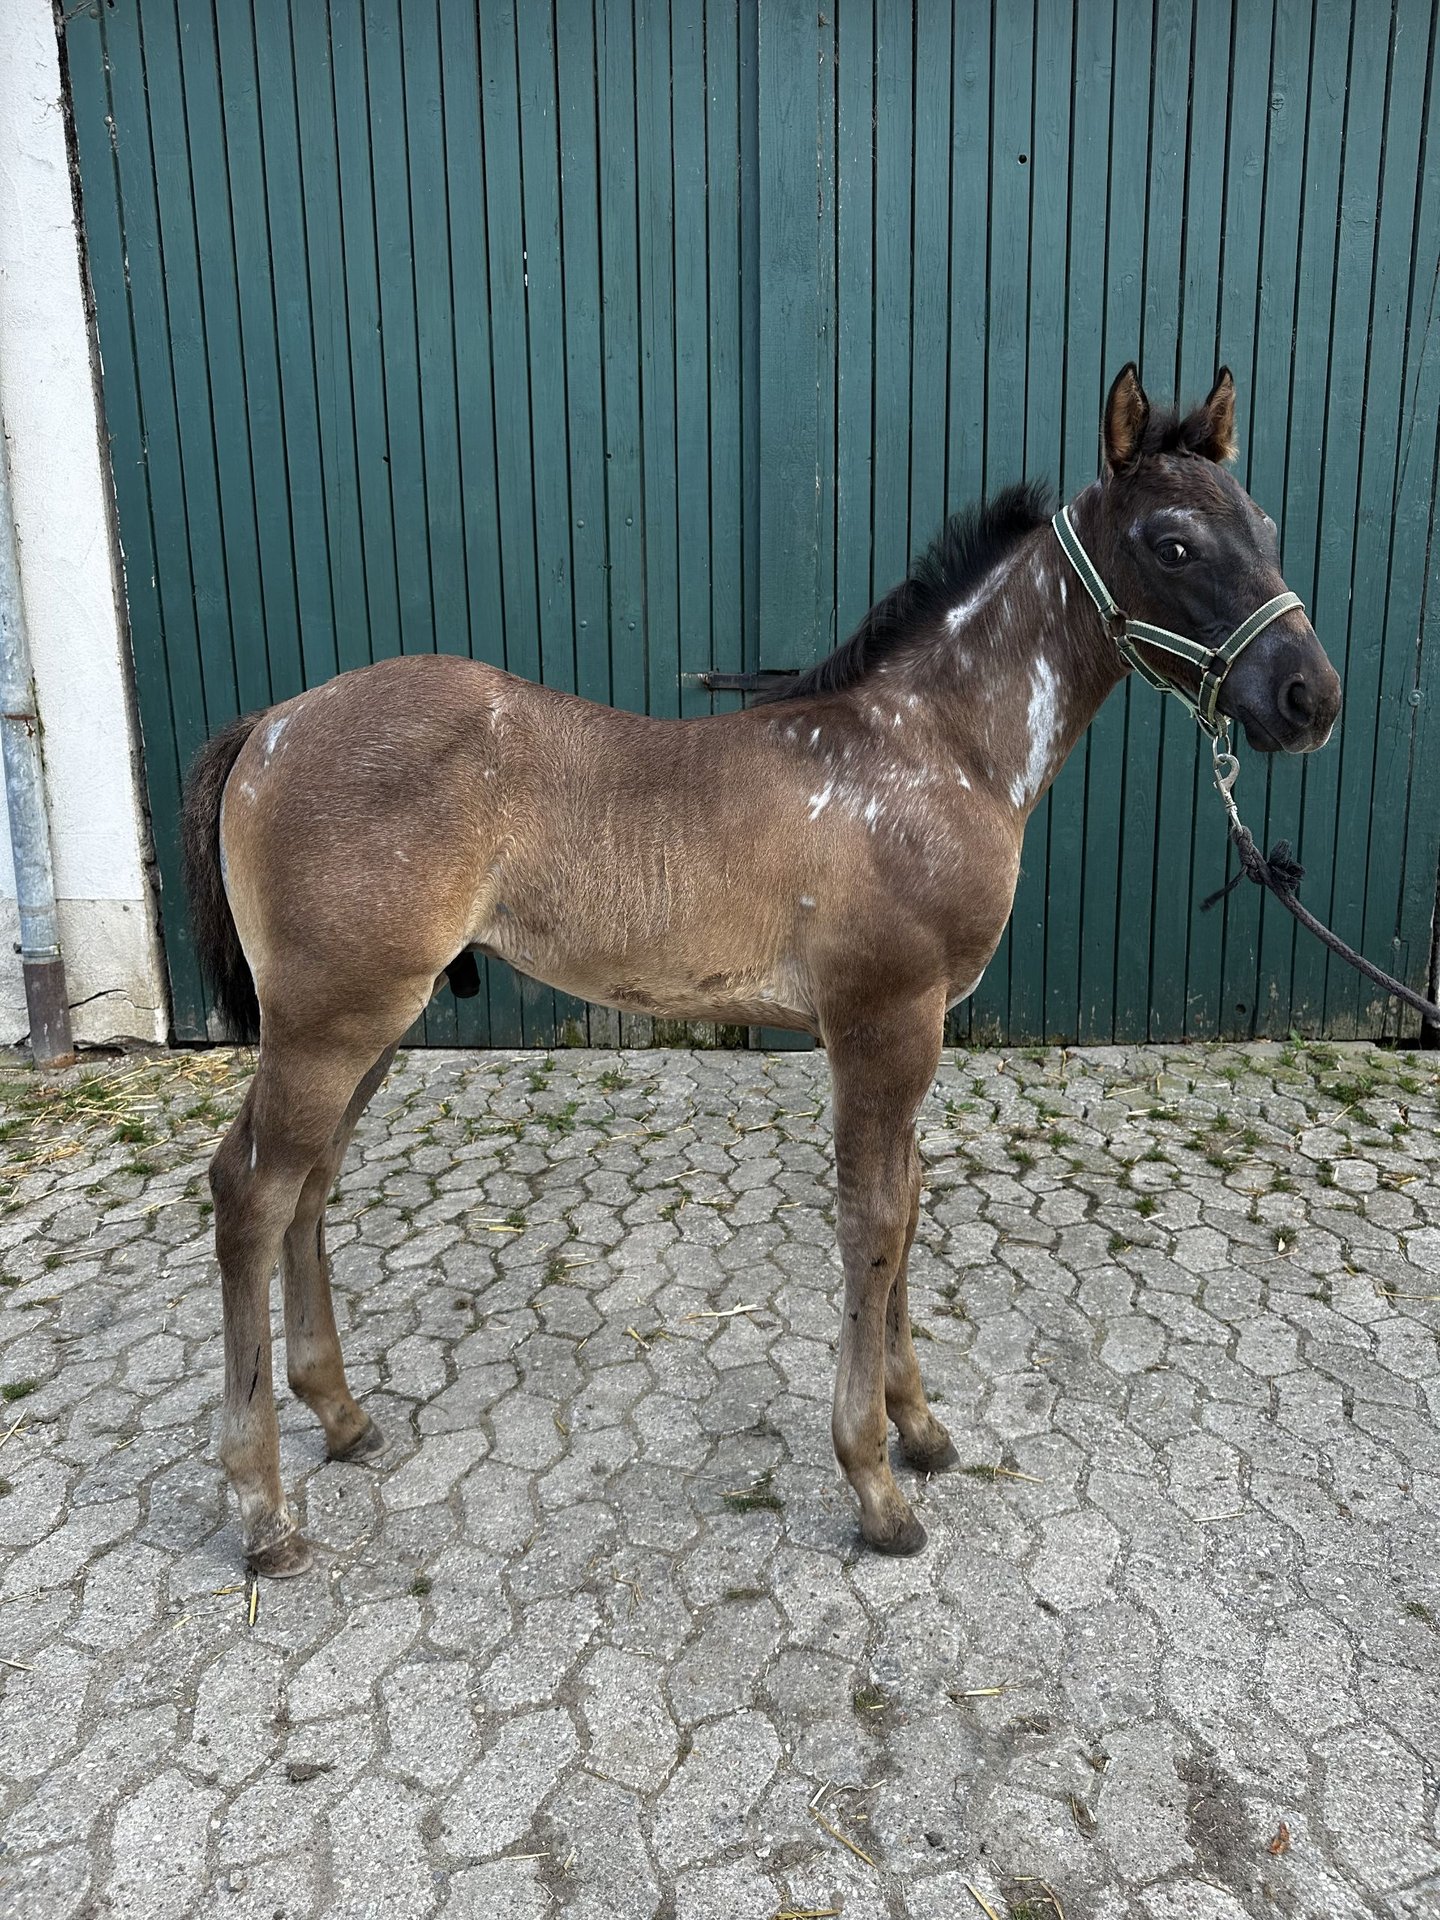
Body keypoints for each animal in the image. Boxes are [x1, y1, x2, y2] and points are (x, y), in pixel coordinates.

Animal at [182, 365, 1341, 1577]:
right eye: (1173, 543)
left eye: (1264, 526)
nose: (1311, 697)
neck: (935, 750)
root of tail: (271, 724)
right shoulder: (885, 1022)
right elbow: (872, 1223)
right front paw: (876, 1484)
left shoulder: (908, 1032)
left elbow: (905, 1206)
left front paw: (921, 1430)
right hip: (333, 1018)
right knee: (251, 1190)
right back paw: (263, 1511)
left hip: (368, 1023)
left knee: (309, 1185)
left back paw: (343, 1417)